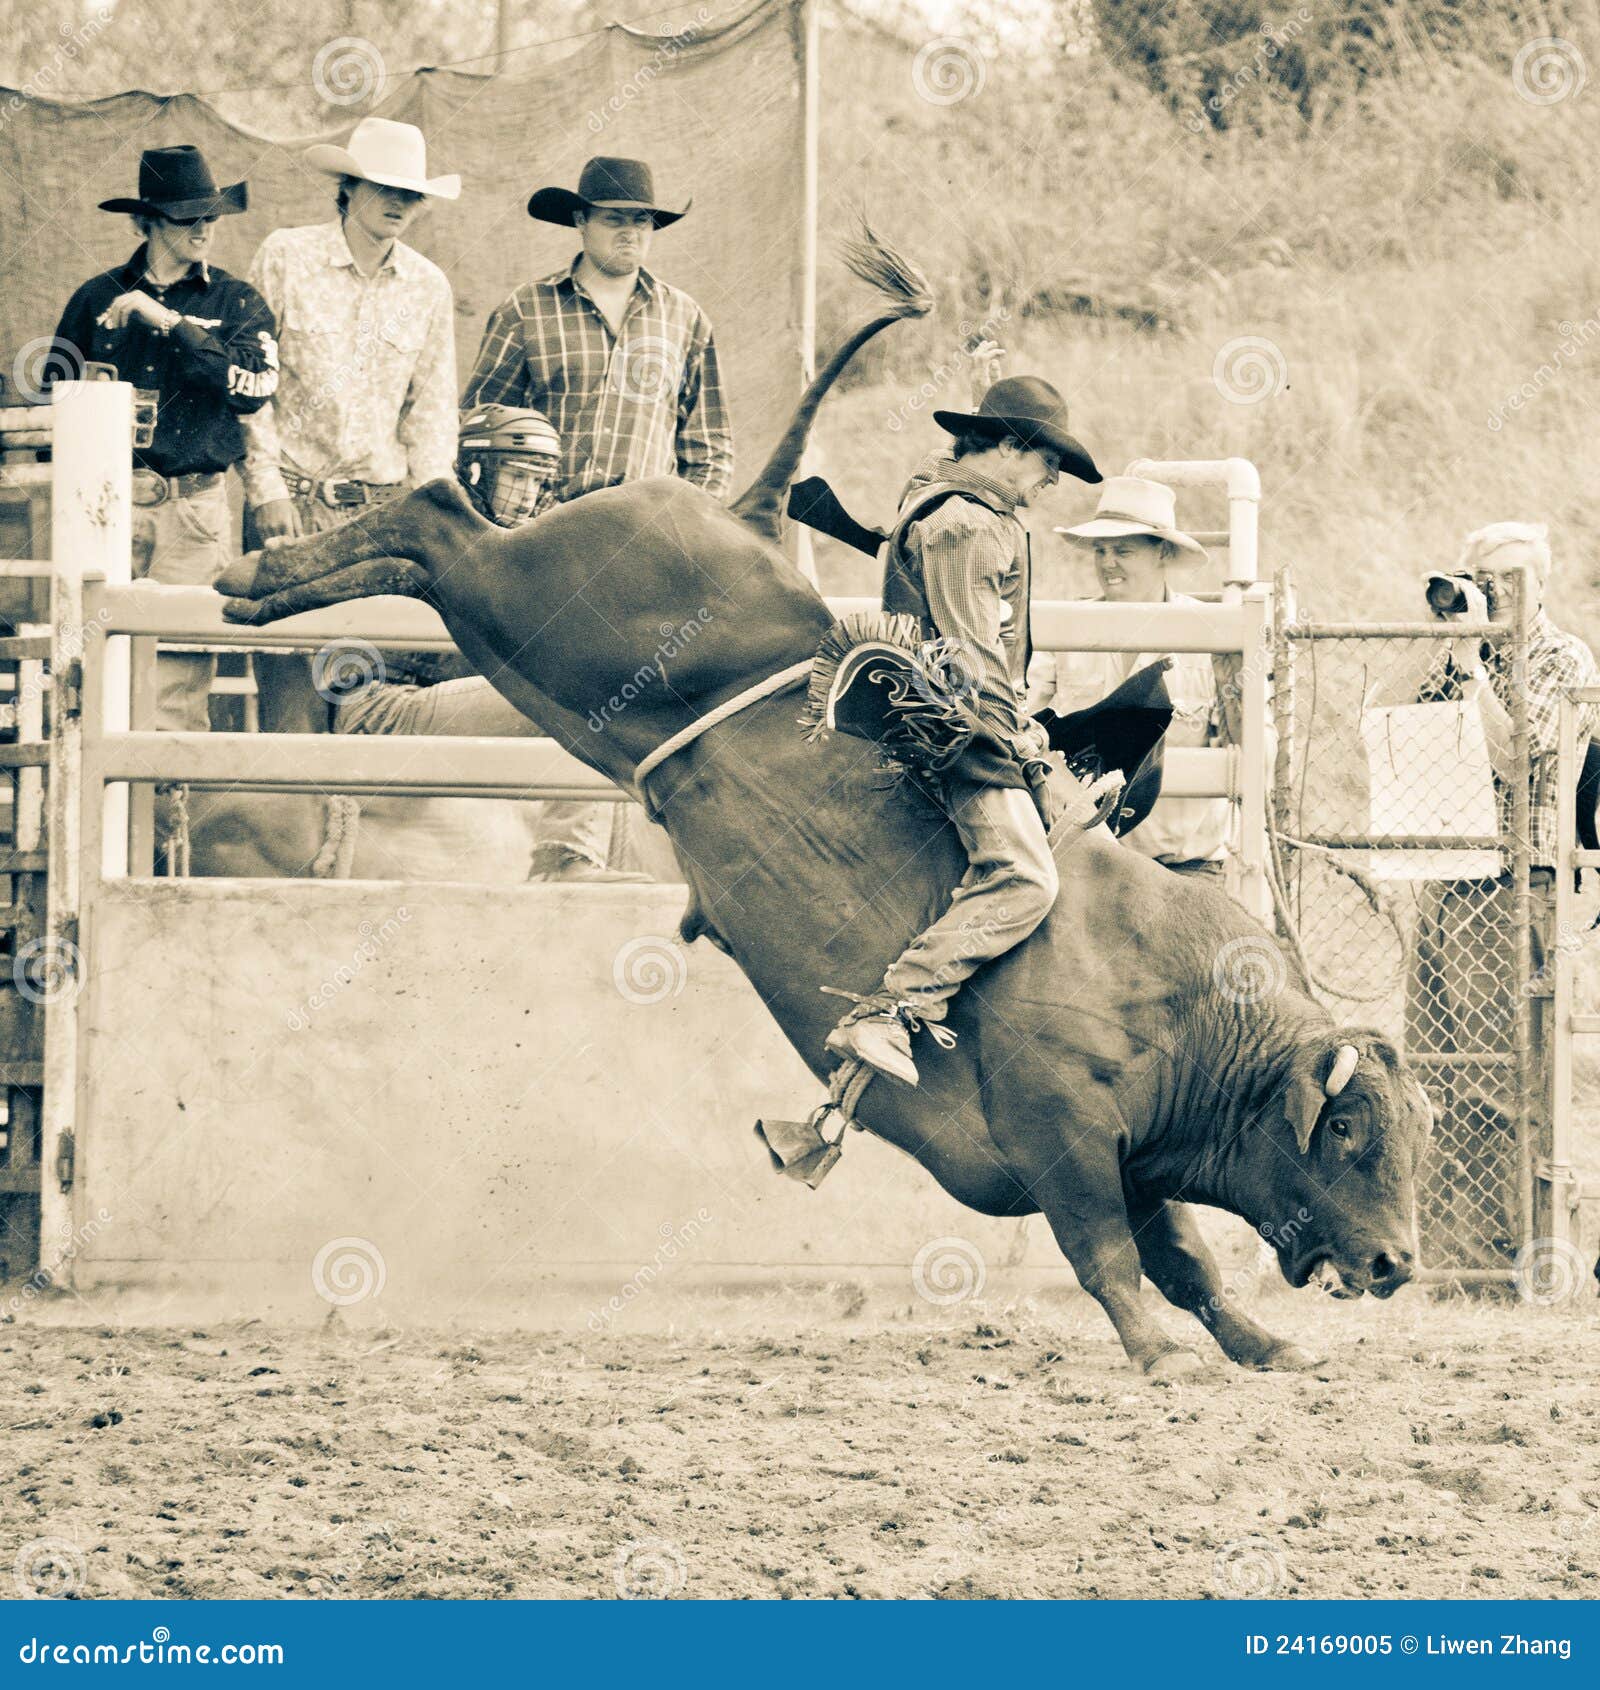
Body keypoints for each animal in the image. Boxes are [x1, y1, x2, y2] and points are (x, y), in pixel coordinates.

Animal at [213, 234, 1432, 1377]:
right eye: (1350, 1130)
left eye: (1416, 1135)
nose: (1395, 1265)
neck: (1182, 1000)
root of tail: (738, 513)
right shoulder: (1066, 1135)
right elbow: (1110, 1255)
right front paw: (1162, 1351)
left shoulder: (1138, 1156)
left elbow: (1184, 1259)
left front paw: (1261, 1345)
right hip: (531, 604)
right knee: (435, 513)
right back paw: (255, 574)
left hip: (530, 658)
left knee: (427, 540)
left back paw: (262, 587)